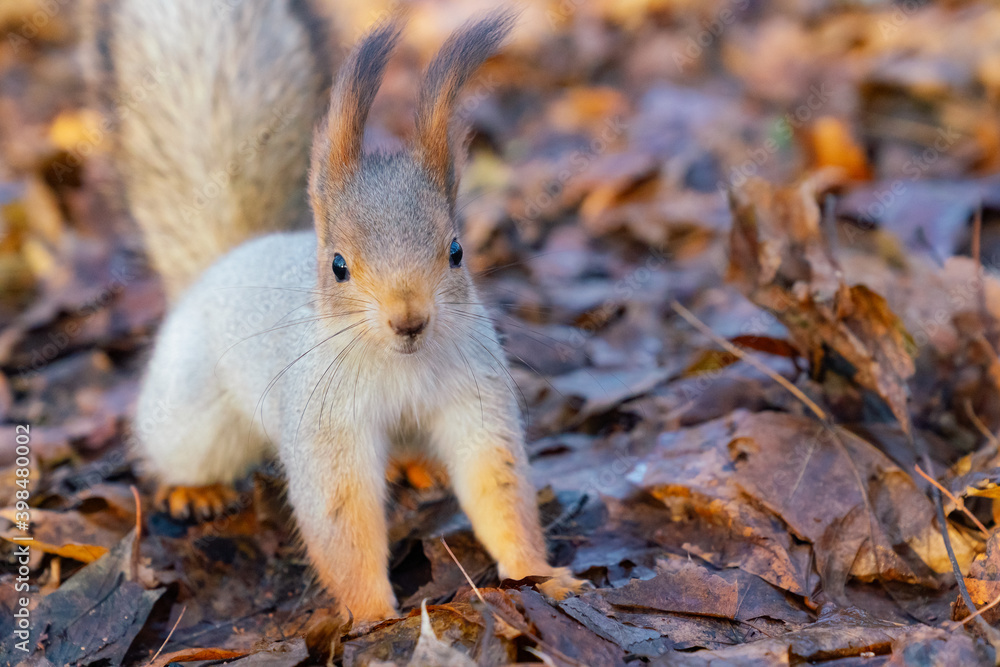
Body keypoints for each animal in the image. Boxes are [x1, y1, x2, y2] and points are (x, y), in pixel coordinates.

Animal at [91, 0, 585, 622]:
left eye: (456, 252)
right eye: (339, 266)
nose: (409, 319)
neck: (399, 365)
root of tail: (230, 258)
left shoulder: (475, 396)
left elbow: (496, 484)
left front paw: (542, 575)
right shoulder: (325, 425)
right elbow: (342, 519)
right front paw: (374, 615)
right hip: (190, 409)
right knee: (185, 449)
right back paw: (193, 490)